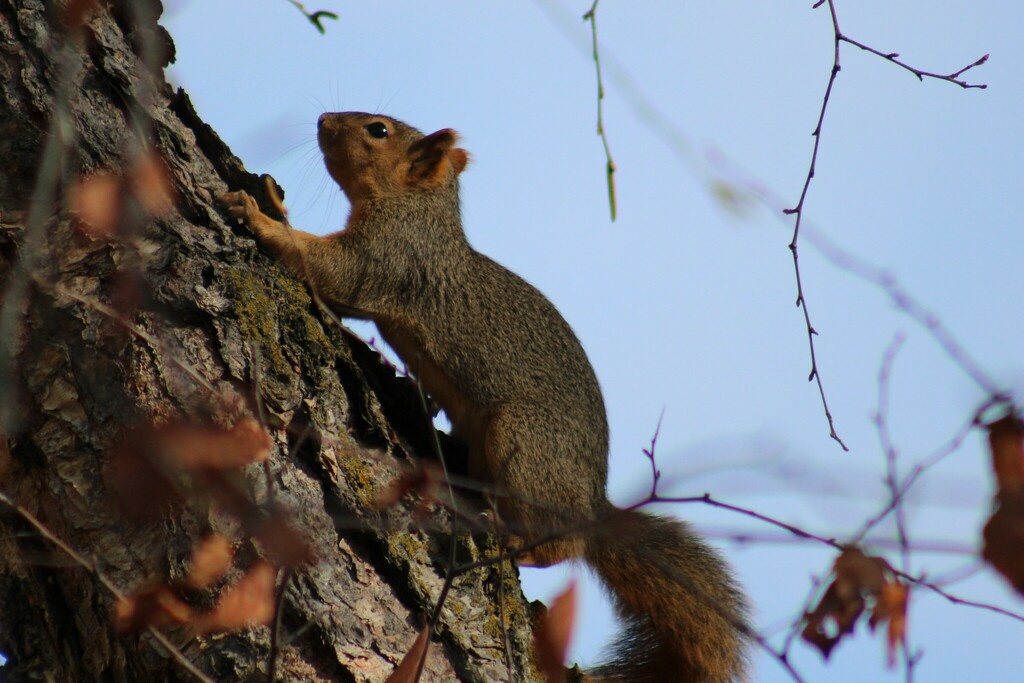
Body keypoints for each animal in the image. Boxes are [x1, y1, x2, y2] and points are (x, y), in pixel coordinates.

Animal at [220, 112, 749, 682]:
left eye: (378, 130)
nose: (322, 119)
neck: (416, 209)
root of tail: (589, 504)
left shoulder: (389, 257)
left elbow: (332, 271)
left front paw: (261, 217)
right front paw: (271, 199)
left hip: (524, 445)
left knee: (560, 543)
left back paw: (517, 542)